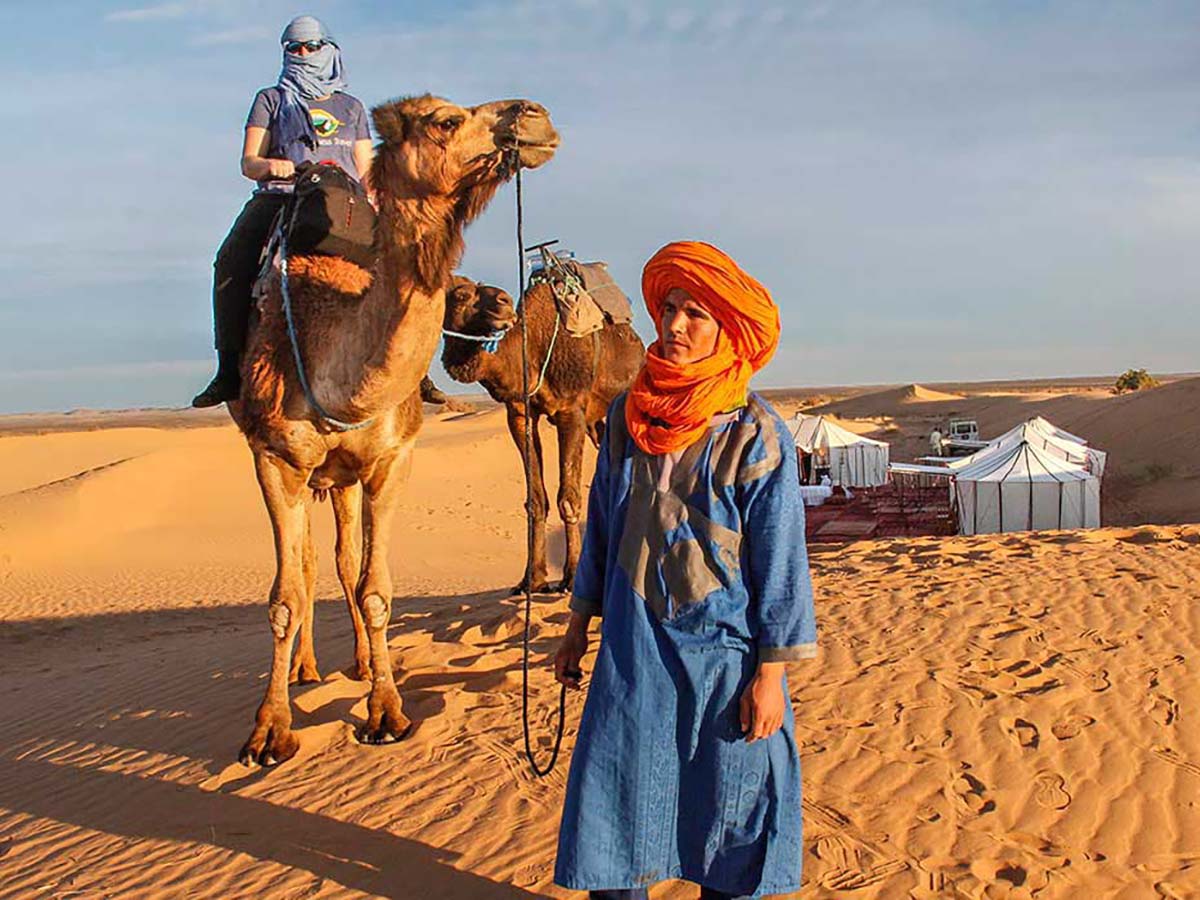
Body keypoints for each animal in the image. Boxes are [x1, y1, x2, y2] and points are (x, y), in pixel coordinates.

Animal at [226, 95, 559, 766]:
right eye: (446, 121)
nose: (534, 114)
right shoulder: (274, 458)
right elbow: (283, 597)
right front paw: (269, 732)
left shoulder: (390, 460)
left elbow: (374, 588)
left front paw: (385, 712)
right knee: (308, 565)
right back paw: (303, 669)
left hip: (343, 479)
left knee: (342, 561)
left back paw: (354, 664)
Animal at [441, 276, 644, 593]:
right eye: (461, 295)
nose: (503, 303)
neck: (529, 351)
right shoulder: (519, 414)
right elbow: (536, 500)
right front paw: (531, 580)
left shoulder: (570, 410)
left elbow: (568, 498)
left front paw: (571, 578)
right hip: (597, 422)